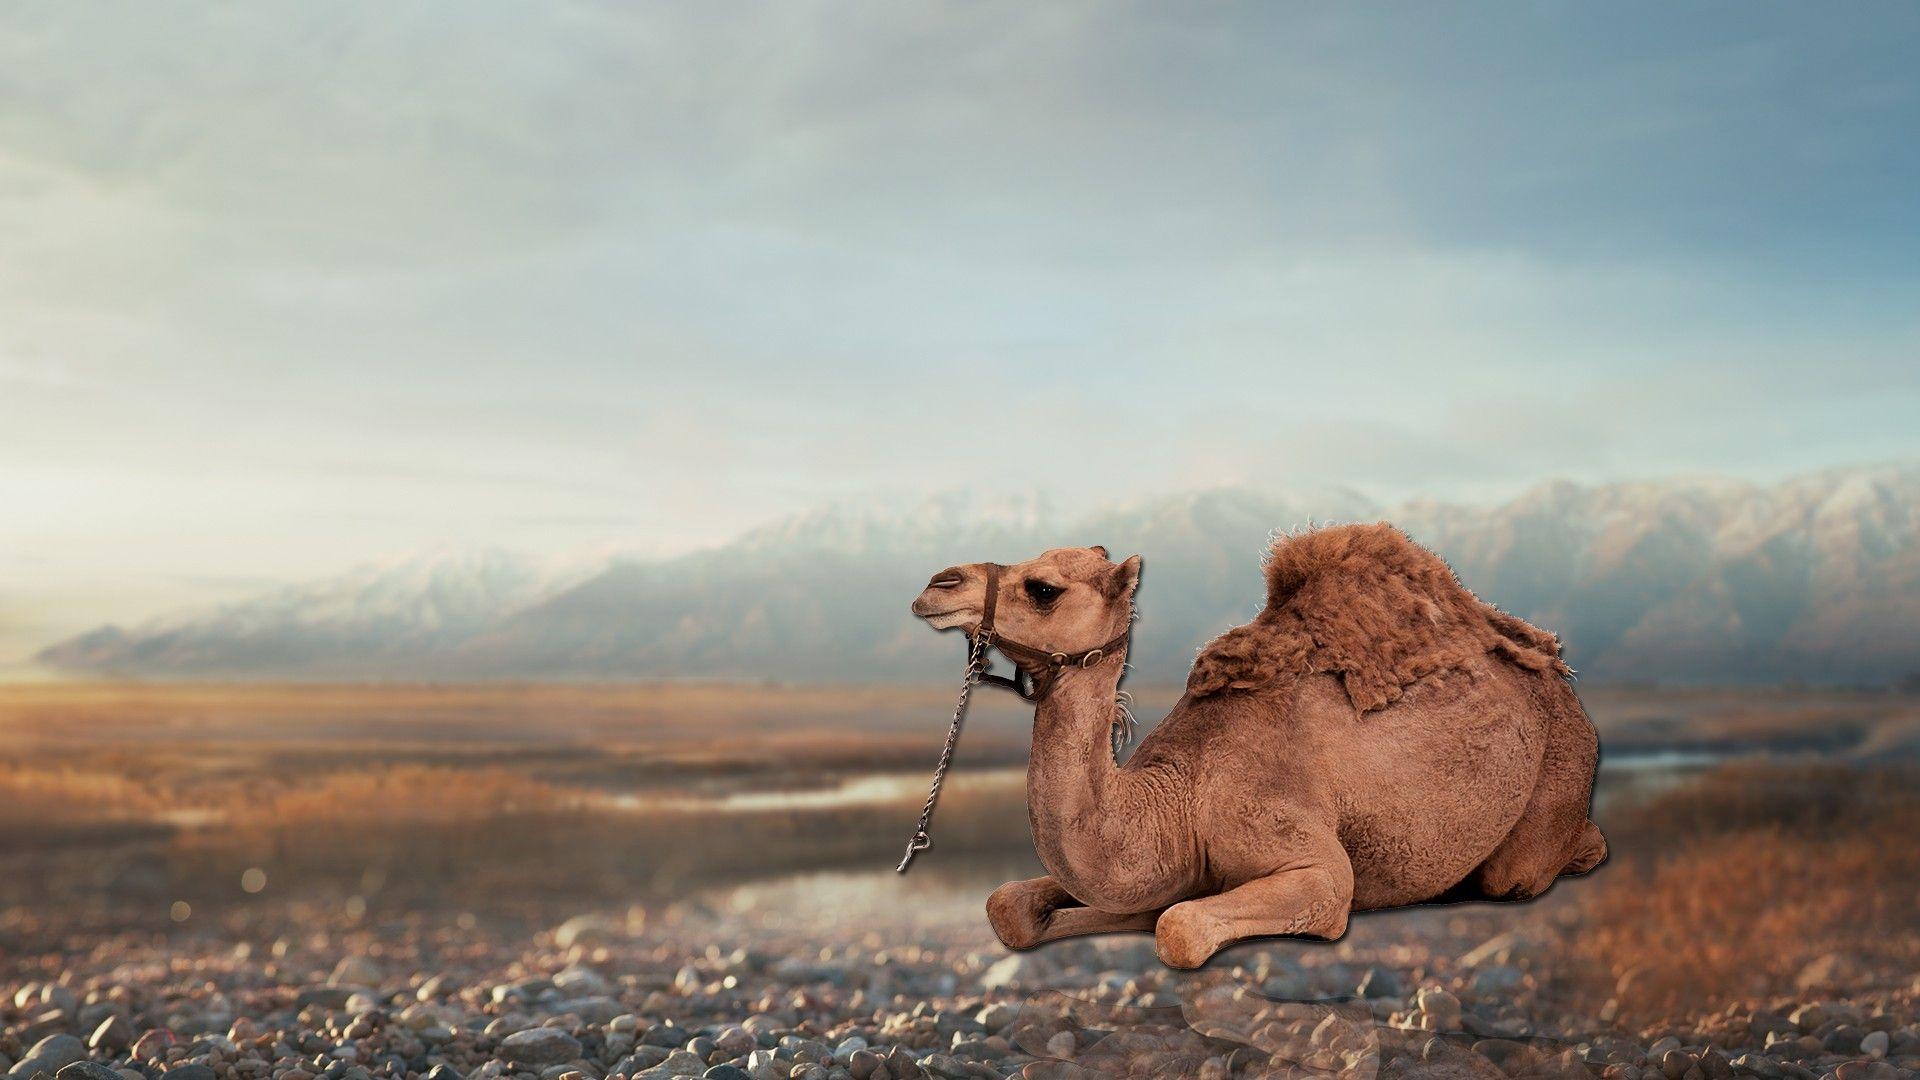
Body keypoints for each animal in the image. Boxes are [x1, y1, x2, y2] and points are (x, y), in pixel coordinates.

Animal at [908, 523, 1608, 969]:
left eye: (1043, 588)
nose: (937, 585)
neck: (1177, 800)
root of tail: (1561, 678)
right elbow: (1011, 906)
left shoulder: (1312, 862)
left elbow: (1180, 925)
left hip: (1561, 765)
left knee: (1524, 870)